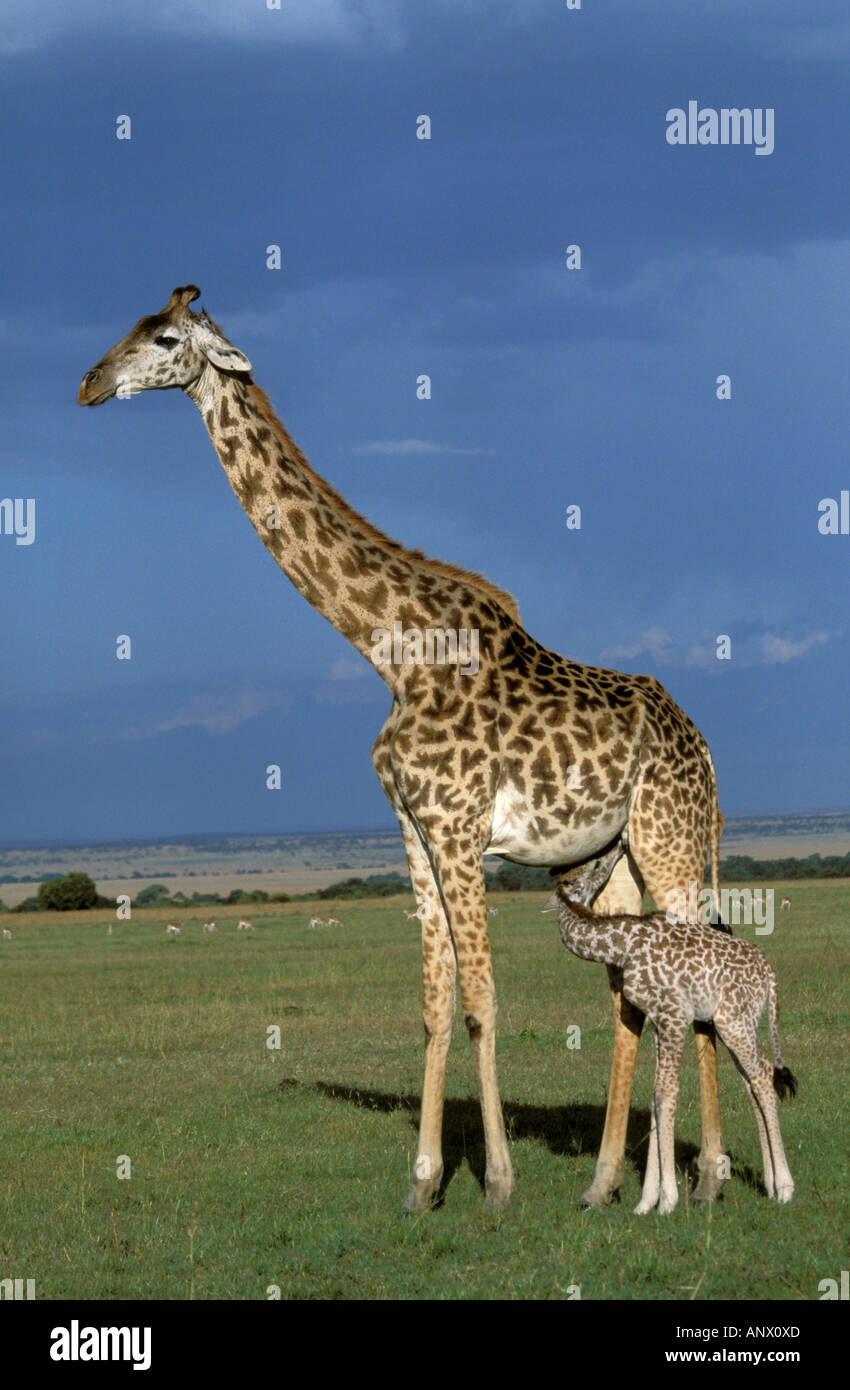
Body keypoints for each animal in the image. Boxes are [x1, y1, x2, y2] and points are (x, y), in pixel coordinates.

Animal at [78, 285, 728, 1212]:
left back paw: (705, 1179)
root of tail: (704, 747)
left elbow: (482, 999)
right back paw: (604, 1183)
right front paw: (424, 1183)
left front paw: (497, 1183)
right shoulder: (414, 831)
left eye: (164, 338)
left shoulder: (459, 828)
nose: (90, 383)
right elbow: (433, 1002)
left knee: (695, 966)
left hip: (670, 842)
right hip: (614, 861)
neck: (387, 647)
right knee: (628, 996)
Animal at [545, 844, 796, 1213]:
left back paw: (786, 1188)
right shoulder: (658, 1021)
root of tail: (770, 974)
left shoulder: (675, 1015)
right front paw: (646, 1201)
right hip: (739, 1023)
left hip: (734, 1021)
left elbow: (665, 1094)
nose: (618, 848)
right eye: (594, 865)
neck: (625, 947)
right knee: (756, 1078)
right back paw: (769, 1183)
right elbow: (654, 1096)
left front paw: (667, 1200)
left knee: (762, 1079)